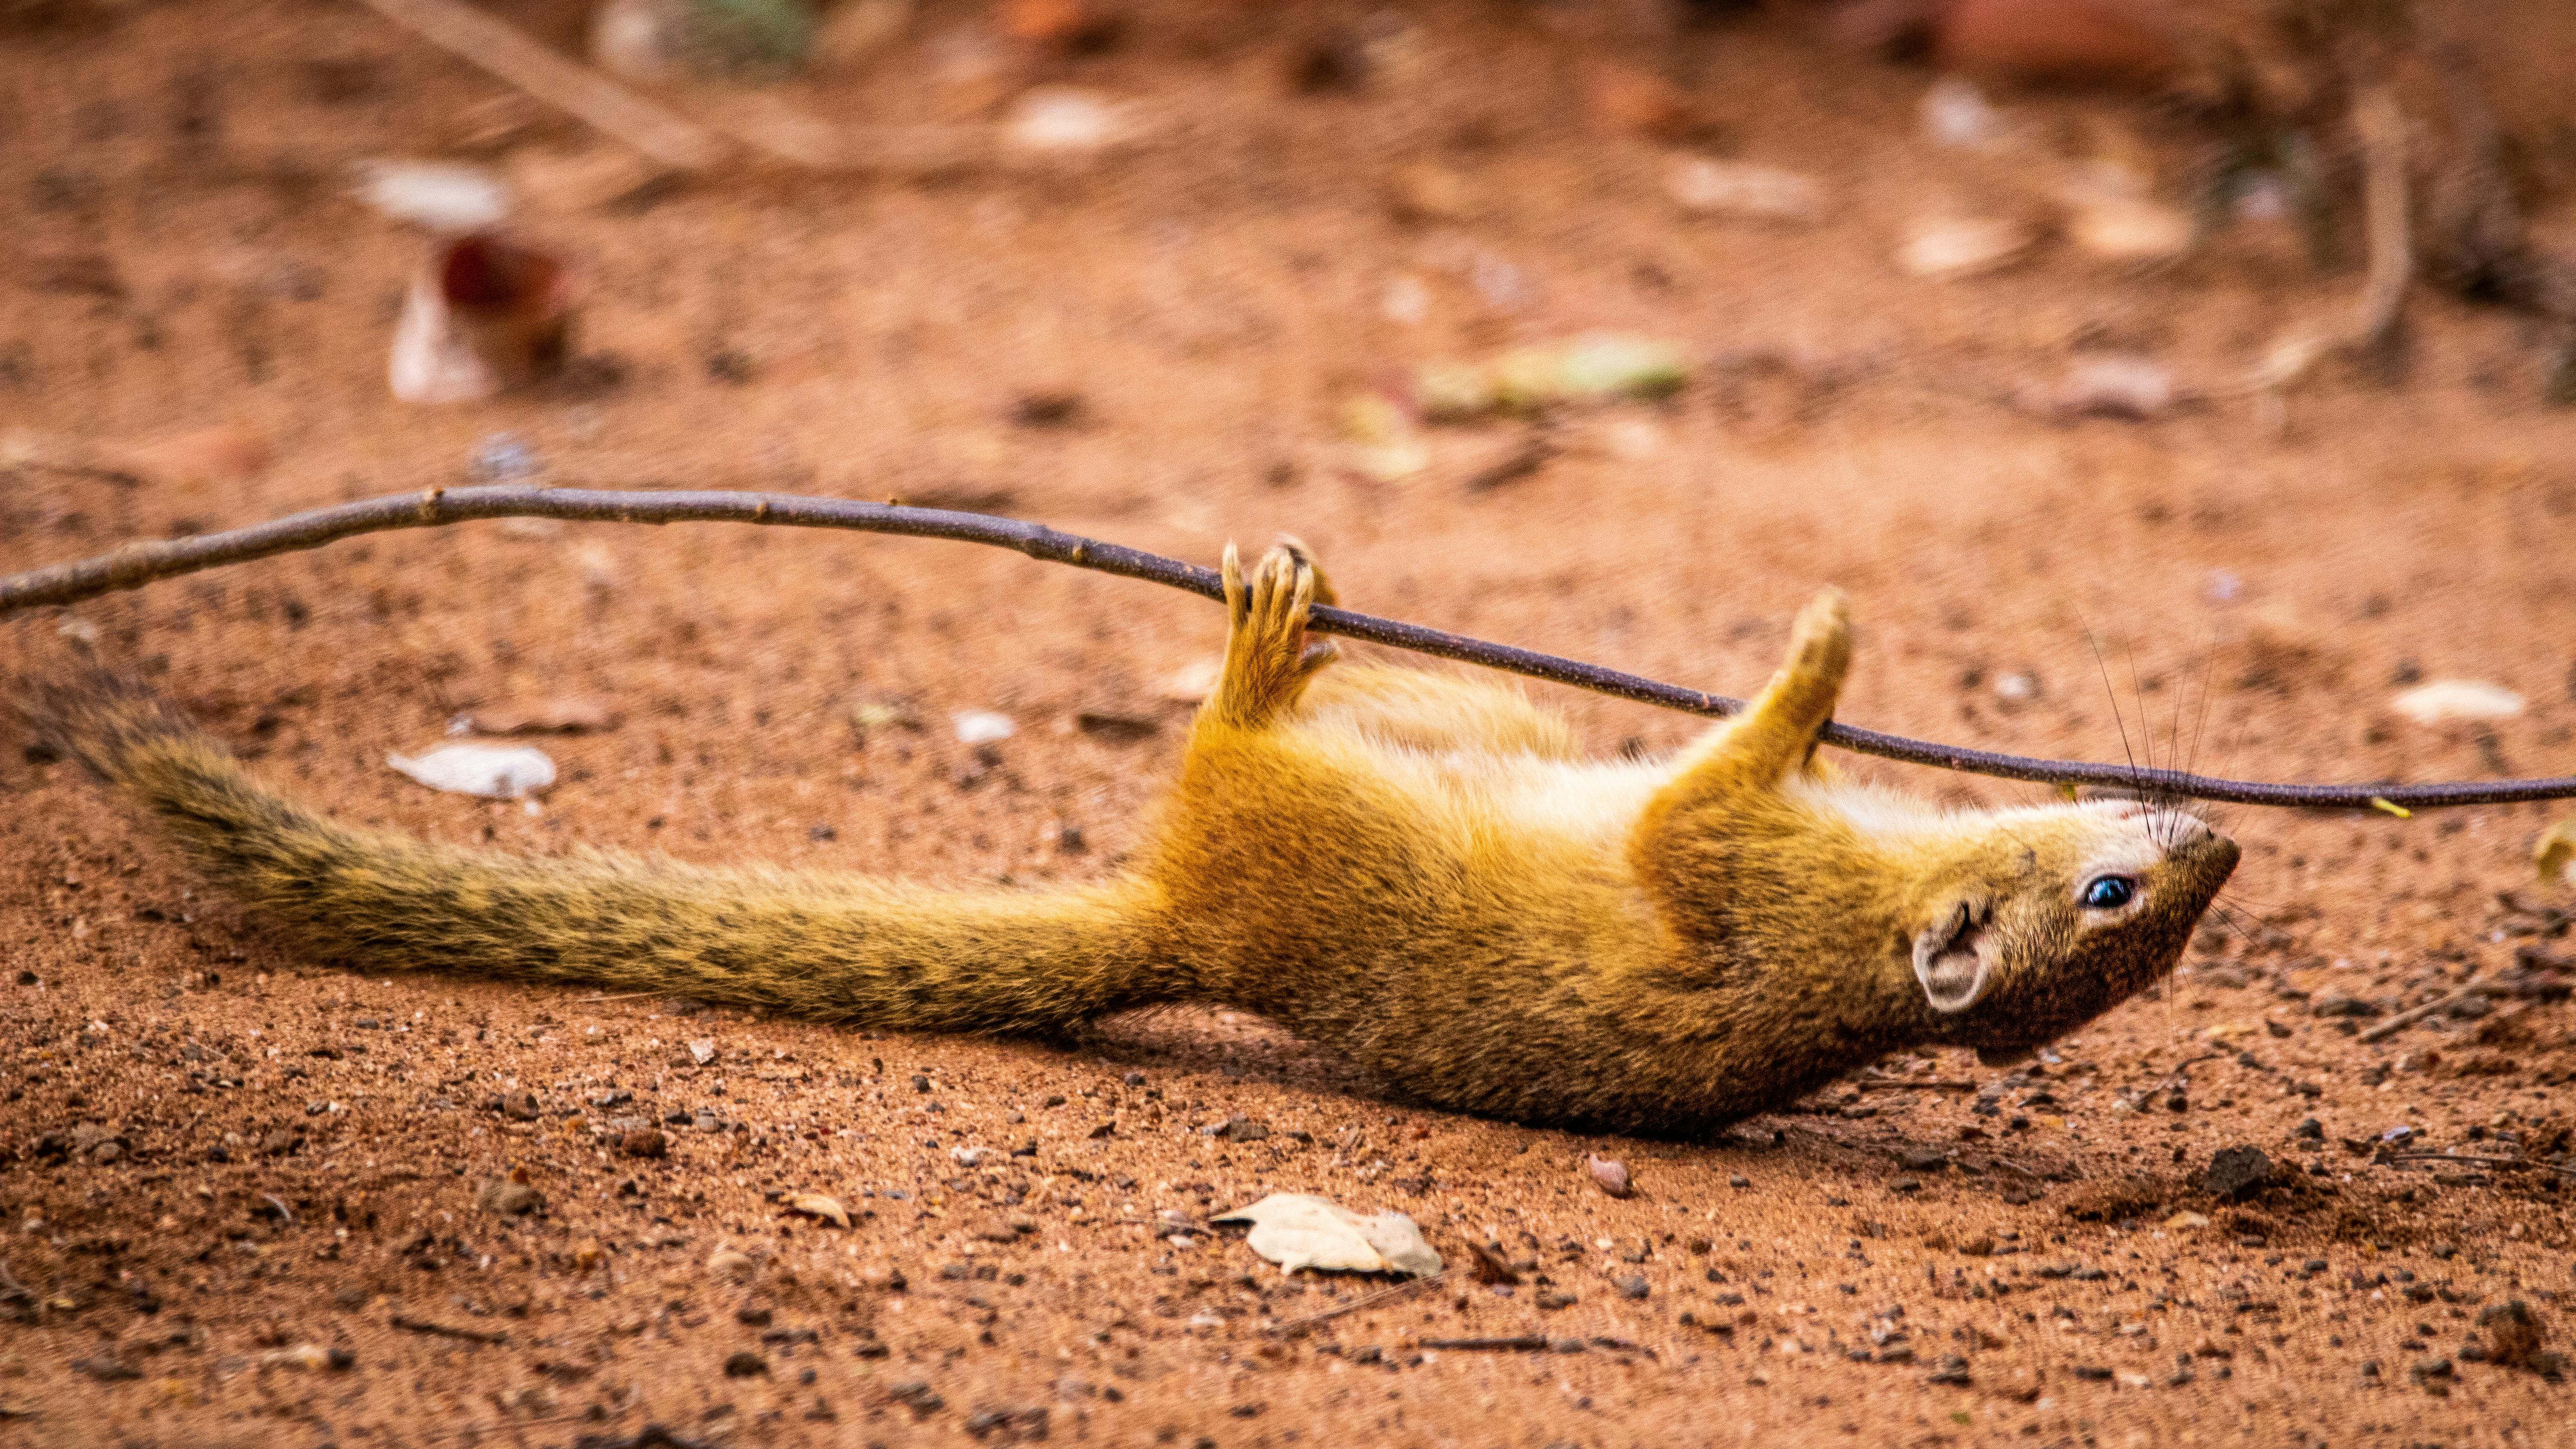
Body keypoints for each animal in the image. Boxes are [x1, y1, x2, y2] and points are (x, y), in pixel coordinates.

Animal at [25, 542, 2238, 1133]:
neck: (1878, 899)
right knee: (1485, 725)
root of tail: (1189, 924)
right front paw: (1836, 666)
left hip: (1287, 806)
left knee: (1232, 739)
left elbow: (1708, 801)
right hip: (1454, 742)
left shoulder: (1742, 871)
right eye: (2131, 895)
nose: (2220, 843)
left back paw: (1258, 654)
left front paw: (1813, 655)